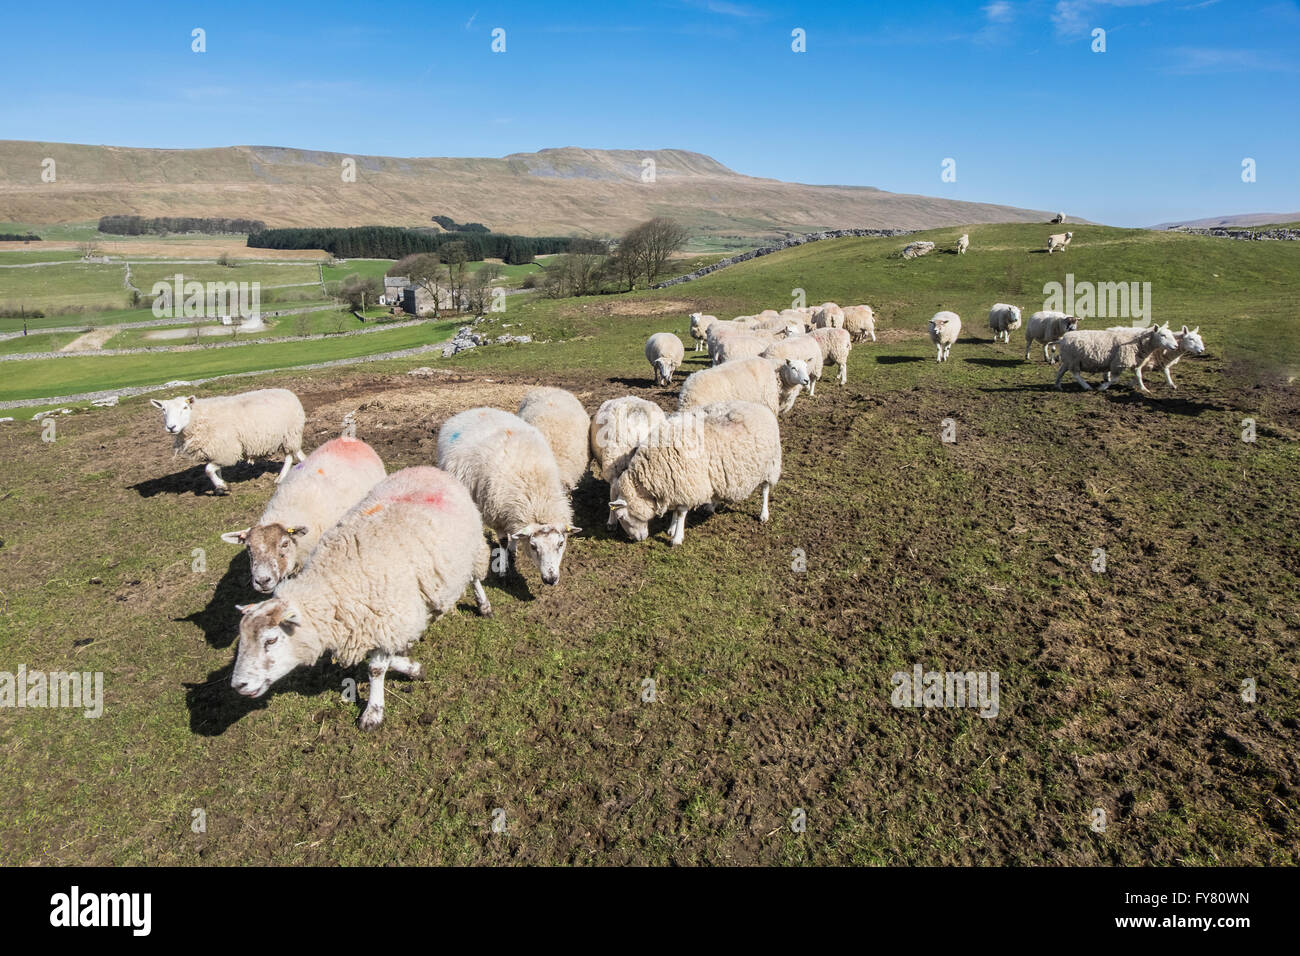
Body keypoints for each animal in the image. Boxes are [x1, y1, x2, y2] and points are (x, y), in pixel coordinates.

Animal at [150, 388, 305, 495]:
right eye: (163, 409)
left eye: (185, 407)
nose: (171, 427)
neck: (199, 417)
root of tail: (288, 392)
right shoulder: (215, 450)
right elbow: (215, 470)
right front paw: (220, 486)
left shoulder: (226, 450)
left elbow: (208, 470)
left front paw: (222, 486)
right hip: (290, 435)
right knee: (296, 453)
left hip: (290, 434)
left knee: (289, 457)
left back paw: (281, 478)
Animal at [229, 466, 493, 730]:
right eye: (242, 639)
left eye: (271, 640)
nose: (238, 685)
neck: (334, 583)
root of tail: (425, 469)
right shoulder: (371, 624)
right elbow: (387, 657)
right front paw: (413, 667)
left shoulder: (387, 619)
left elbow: (376, 668)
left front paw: (373, 712)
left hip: (473, 548)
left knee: (475, 578)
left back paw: (484, 605)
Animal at [437, 407, 579, 585]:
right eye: (533, 546)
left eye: (560, 543)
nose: (550, 579)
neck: (534, 493)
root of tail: (475, 410)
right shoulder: (497, 516)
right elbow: (503, 542)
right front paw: (503, 569)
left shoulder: (512, 512)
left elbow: (515, 533)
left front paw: (513, 548)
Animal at [609, 400, 782, 546]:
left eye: (621, 517)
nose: (637, 539)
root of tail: (760, 407)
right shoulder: (675, 485)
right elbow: (675, 510)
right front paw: (671, 528)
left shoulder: (686, 483)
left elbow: (680, 513)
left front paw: (677, 538)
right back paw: (711, 506)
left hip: (771, 465)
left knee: (765, 489)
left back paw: (764, 514)